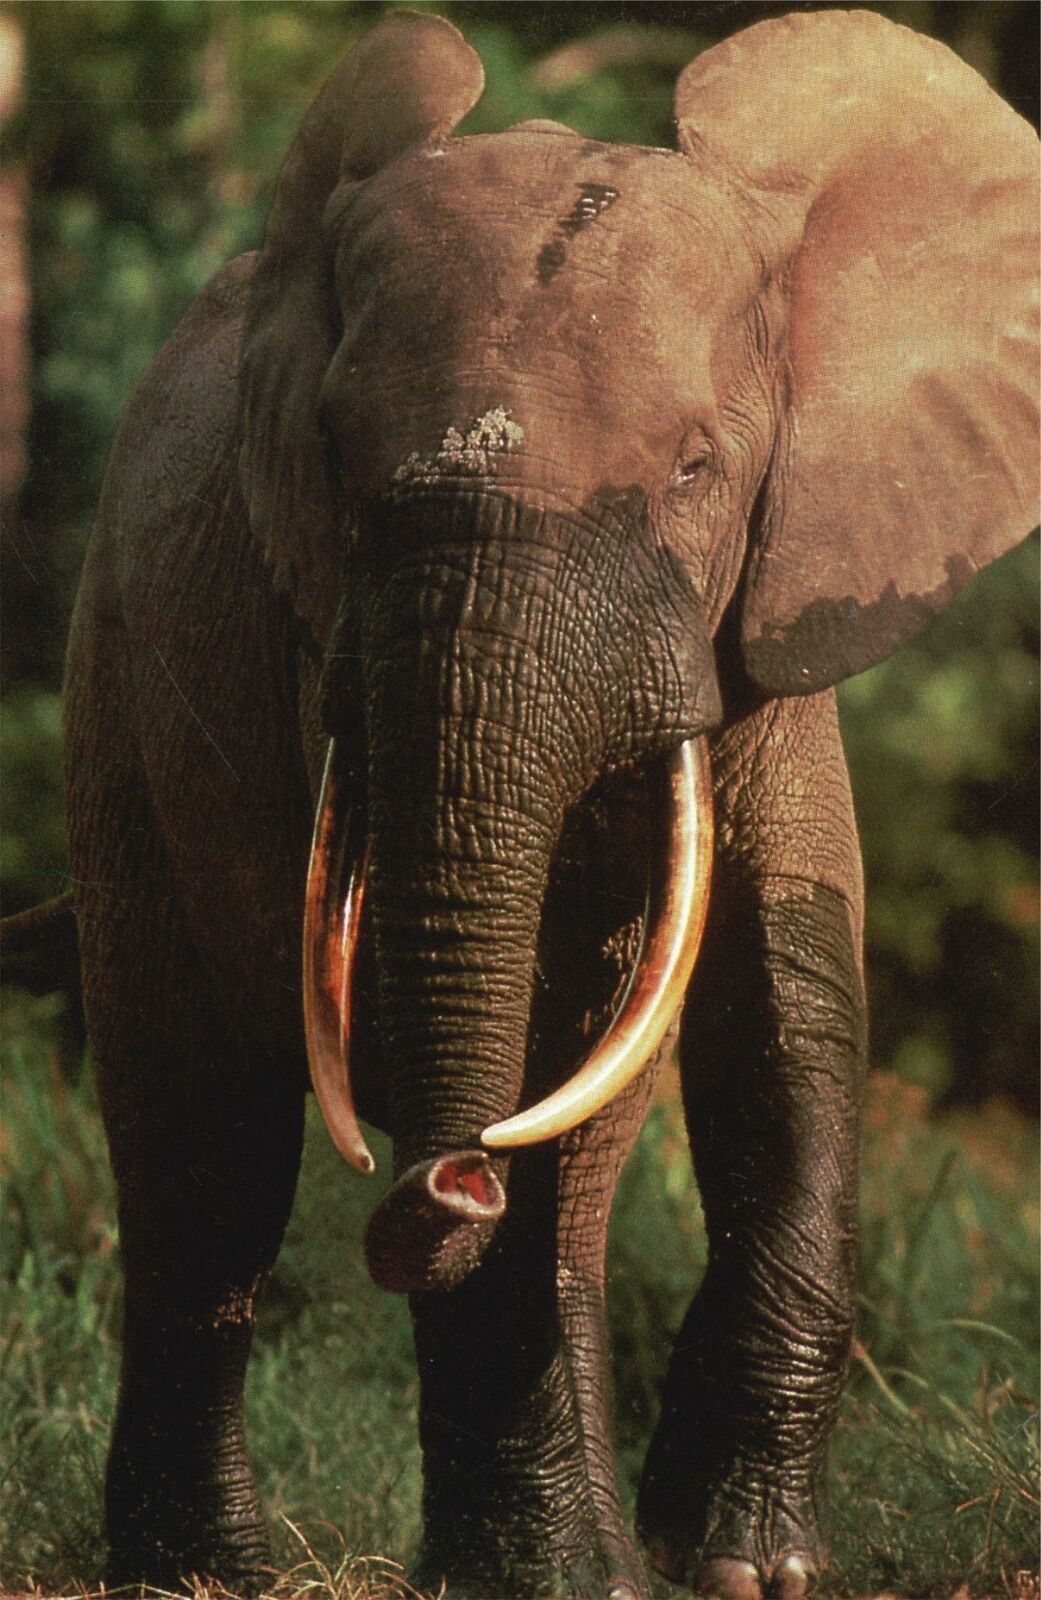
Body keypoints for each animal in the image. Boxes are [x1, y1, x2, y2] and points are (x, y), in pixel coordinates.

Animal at [52, 10, 1038, 1600]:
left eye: (696, 469)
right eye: (333, 463)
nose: (441, 1186)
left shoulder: (783, 588)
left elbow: (785, 1002)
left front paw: (735, 1564)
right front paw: (568, 1576)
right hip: (118, 669)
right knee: (205, 1142)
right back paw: (207, 1574)